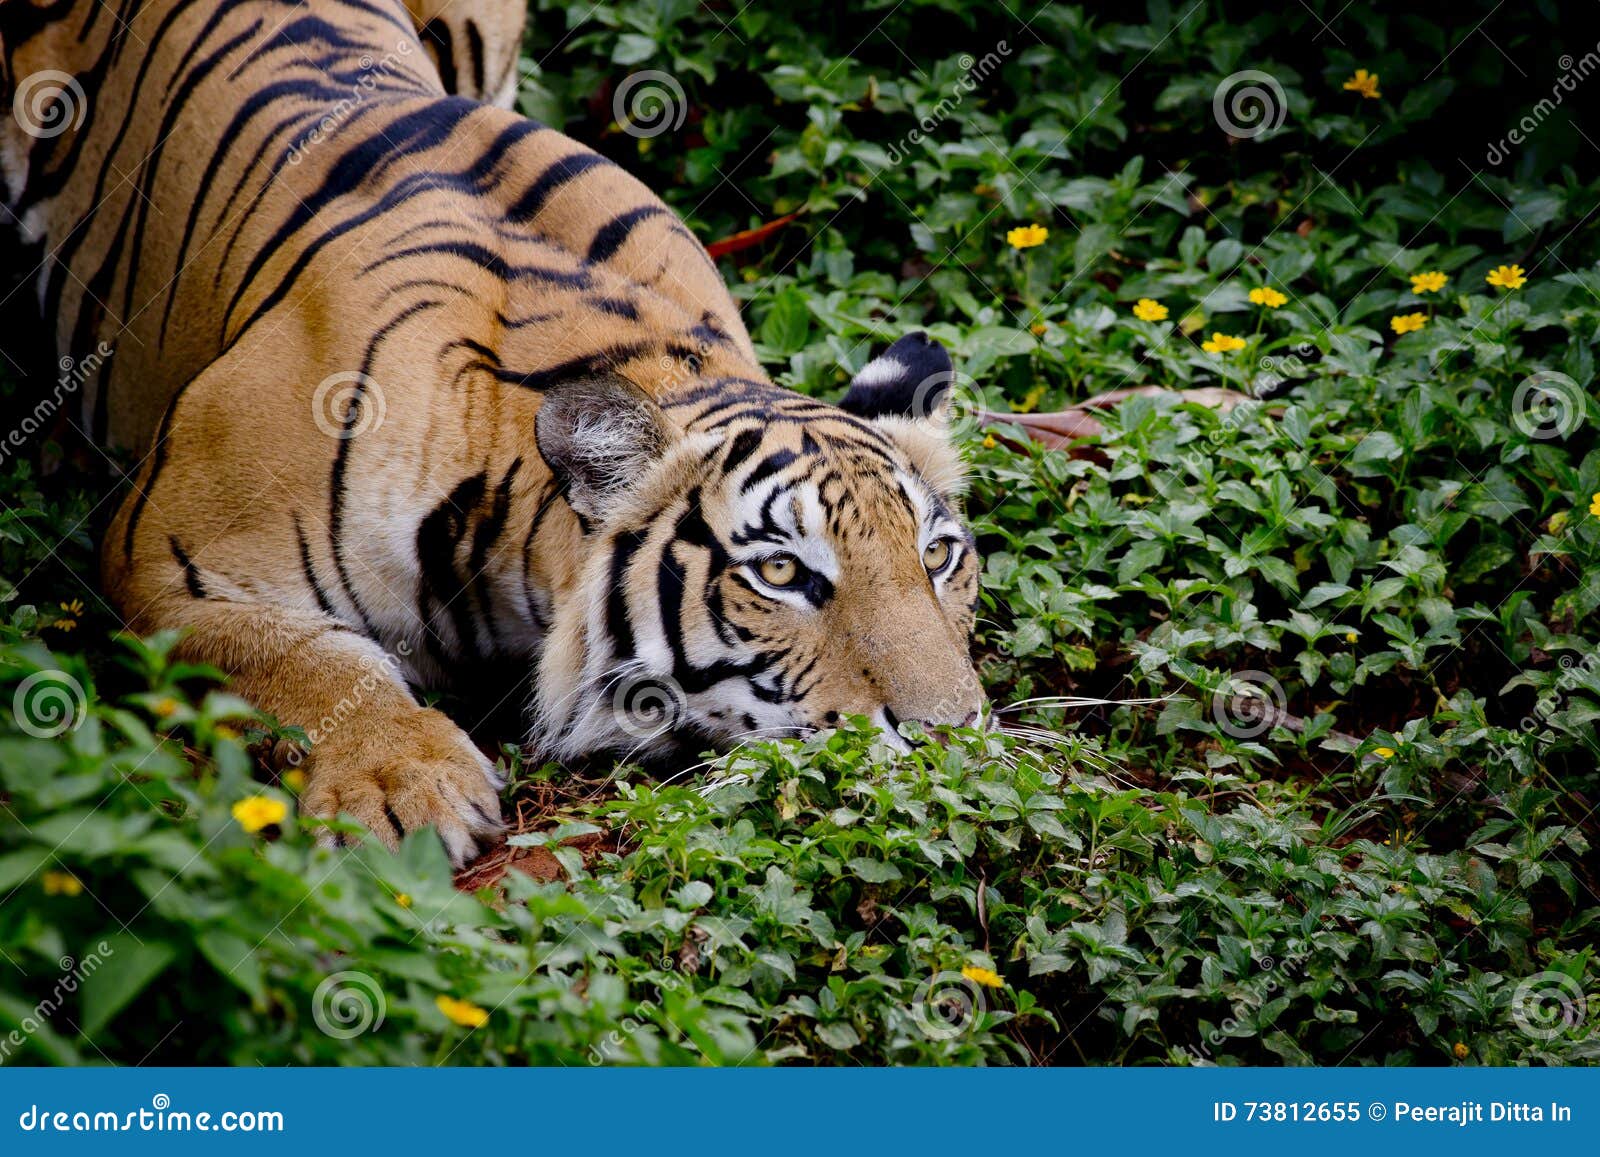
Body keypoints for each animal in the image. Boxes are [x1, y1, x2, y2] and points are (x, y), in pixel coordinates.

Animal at [0, 0, 985, 865]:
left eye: (938, 556)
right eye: (780, 573)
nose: (949, 737)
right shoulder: (167, 553)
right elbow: (307, 658)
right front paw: (402, 784)